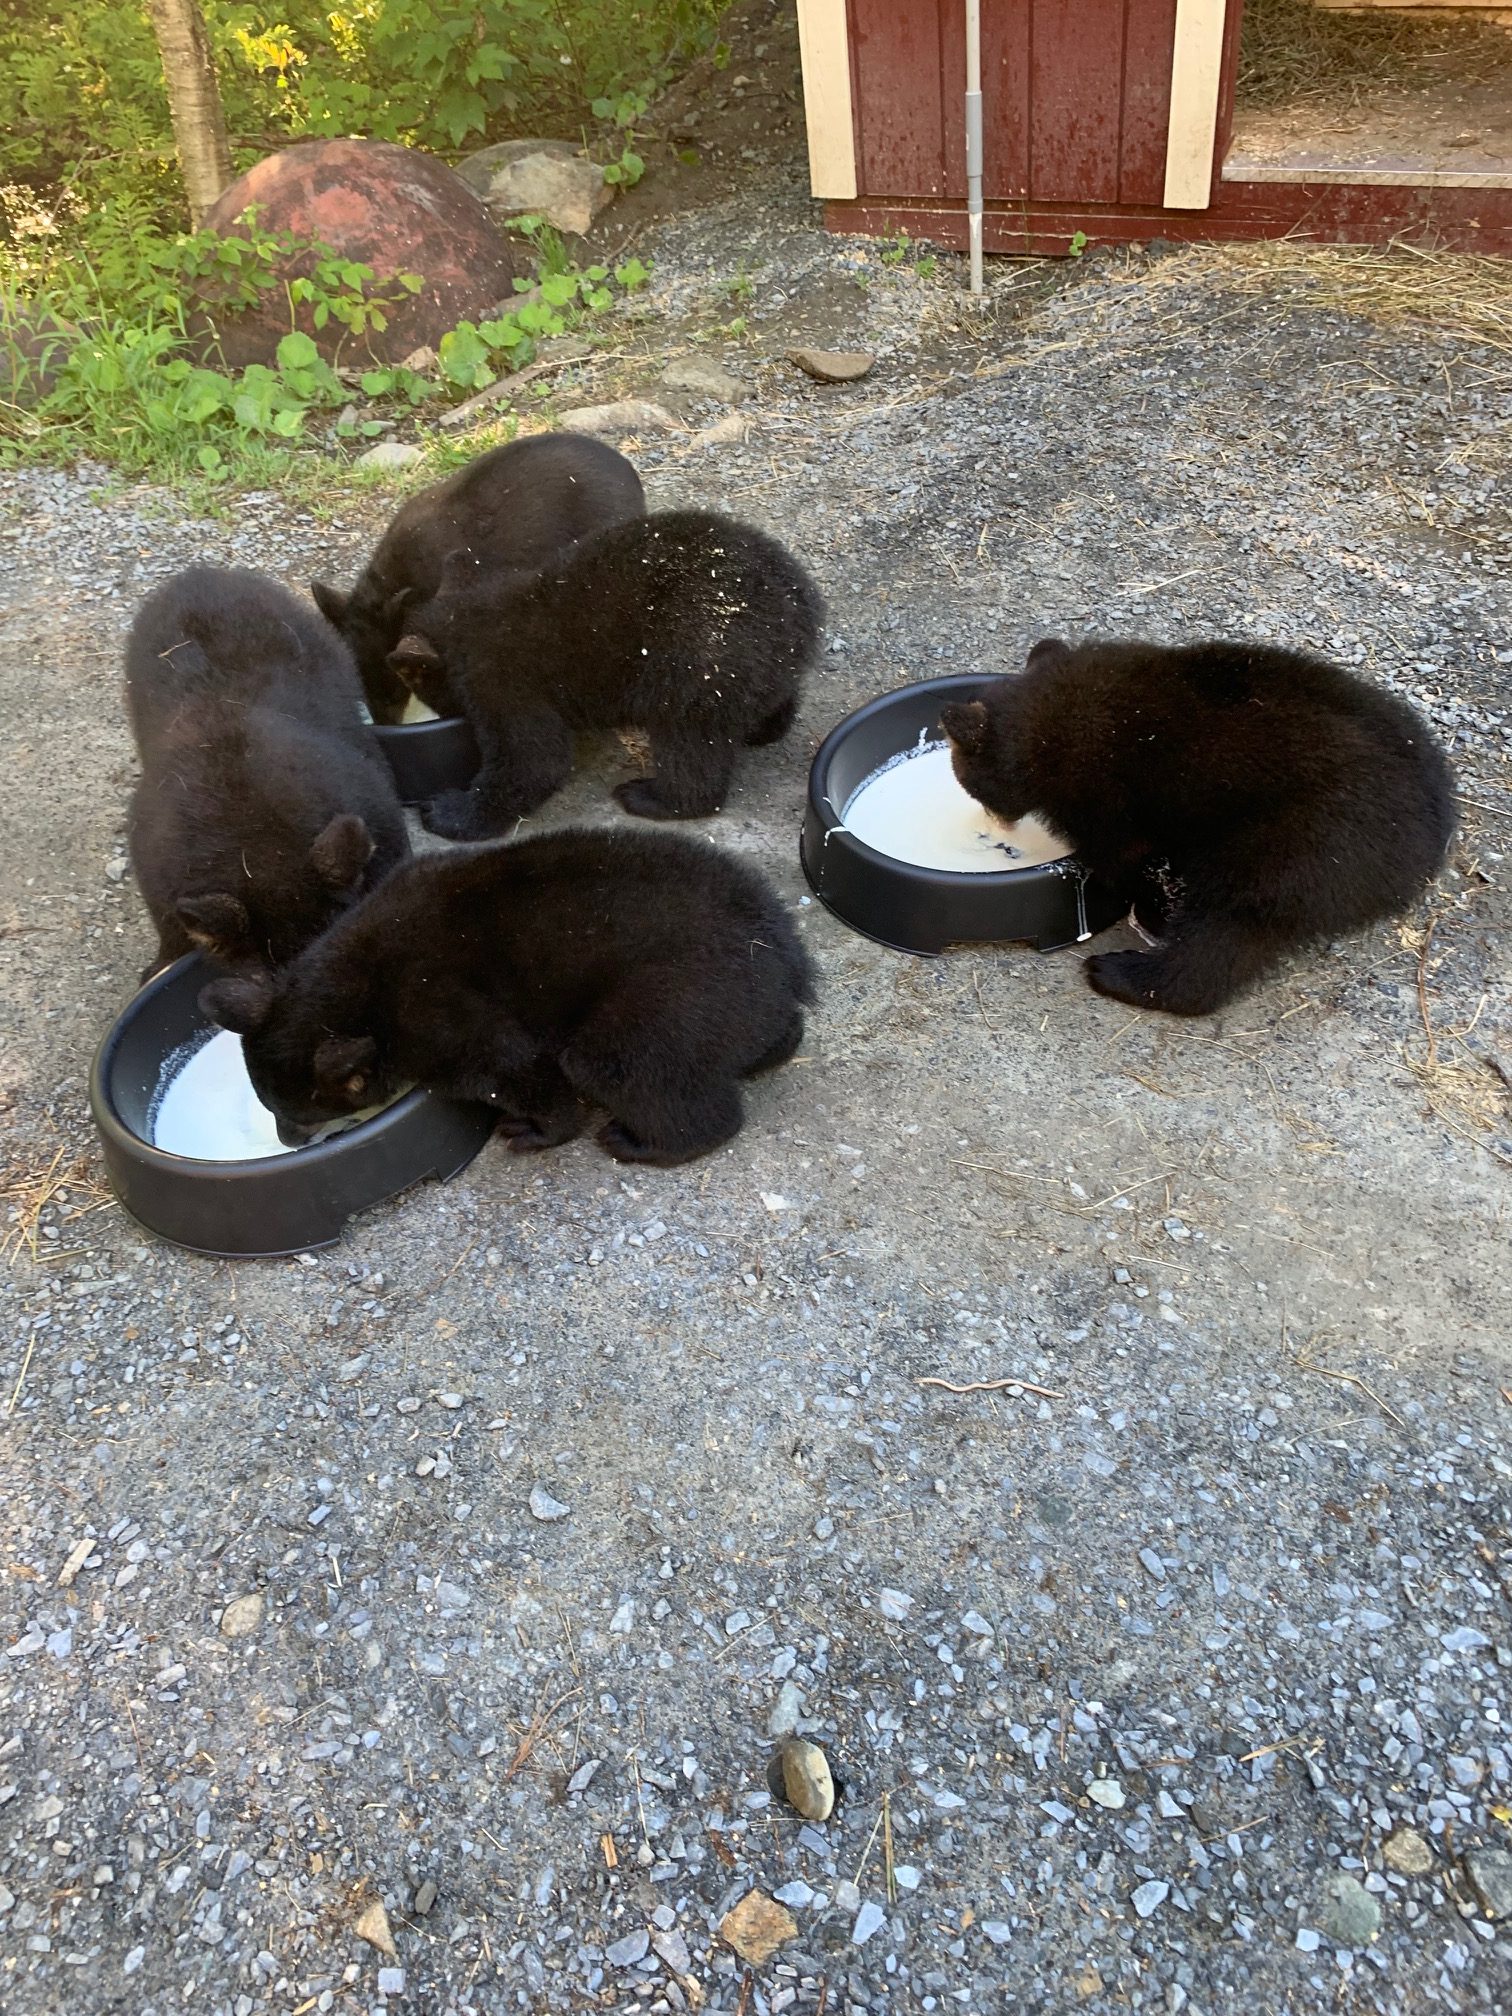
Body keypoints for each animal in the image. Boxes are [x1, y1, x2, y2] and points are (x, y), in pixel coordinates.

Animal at [199, 826, 816, 1166]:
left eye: (303, 1114)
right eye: (271, 1106)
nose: (286, 1139)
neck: (353, 979)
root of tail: (787, 962)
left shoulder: (440, 1015)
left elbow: (514, 1069)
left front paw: (538, 1130)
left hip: (686, 988)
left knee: (619, 1063)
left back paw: (644, 1141)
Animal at [384, 508, 824, 839]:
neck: (472, 619)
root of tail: (798, 608)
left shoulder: (502, 679)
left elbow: (532, 759)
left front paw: (447, 809)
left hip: (695, 658)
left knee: (688, 739)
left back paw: (650, 795)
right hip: (754, 664)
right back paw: (763, 727)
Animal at [941, 638, 1456, 1017]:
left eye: (969, 783)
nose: (993, 821)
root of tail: (1427, 846)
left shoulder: (1105, 791)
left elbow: (1123, 854)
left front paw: (1144, 904)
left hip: (1301, 838)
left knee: (1228, 925)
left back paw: (1123, 974)